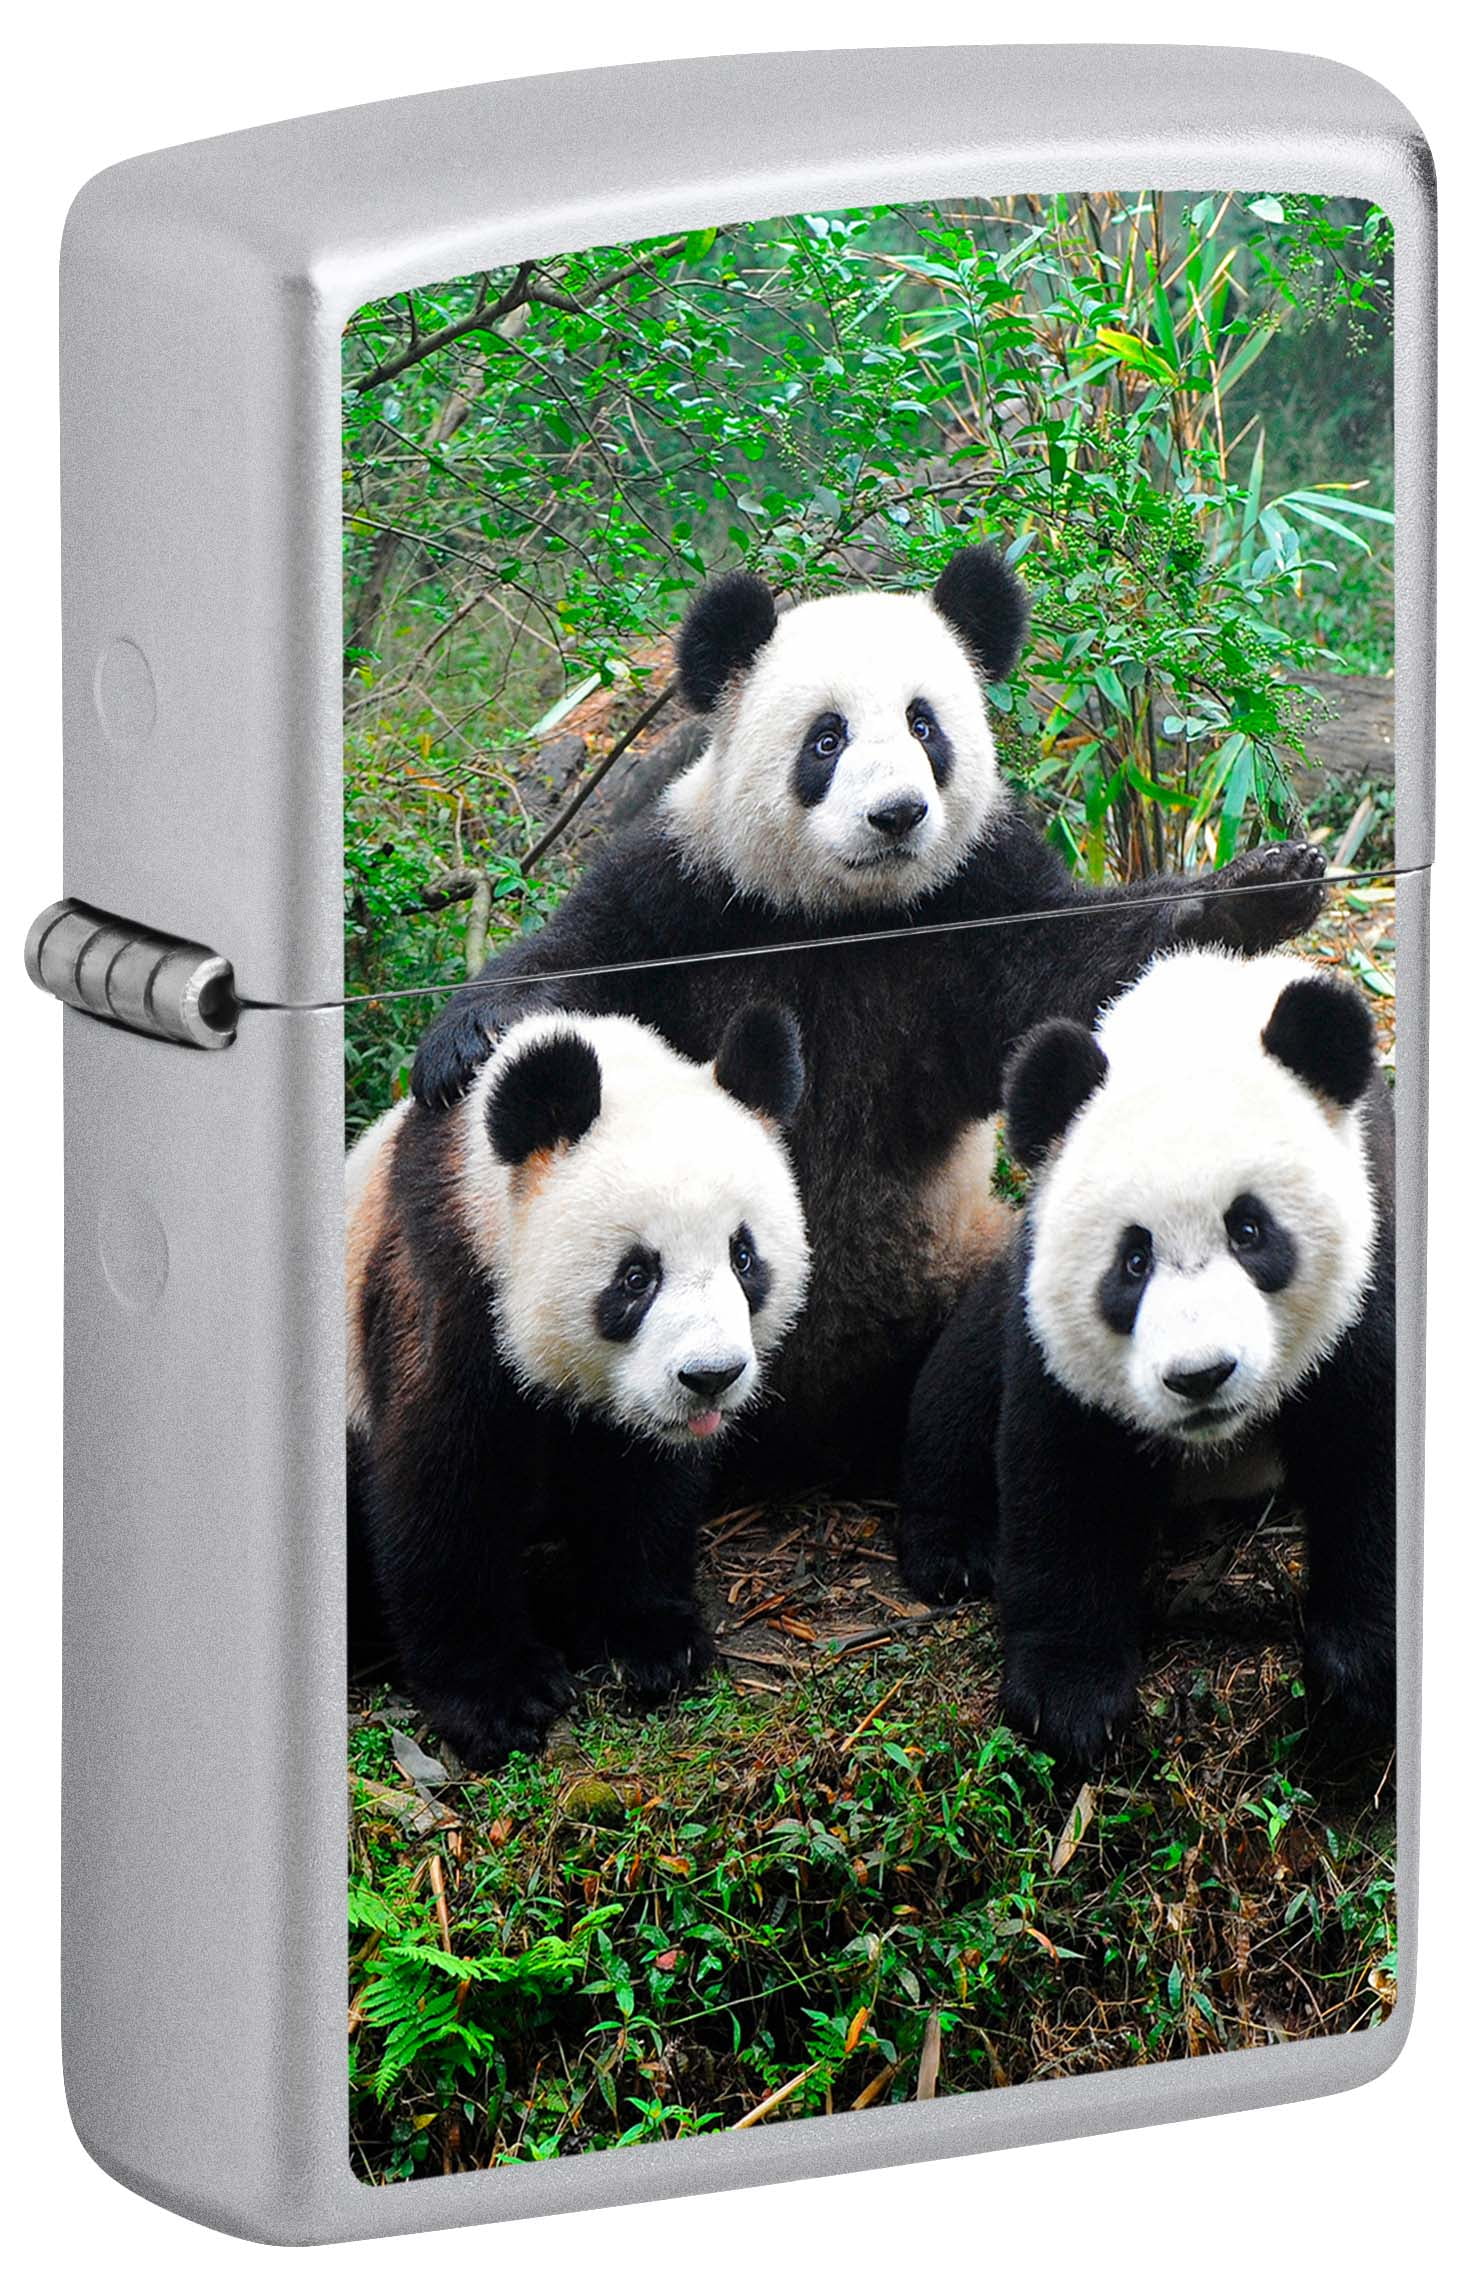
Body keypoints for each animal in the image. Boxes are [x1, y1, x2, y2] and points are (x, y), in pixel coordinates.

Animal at [347, 1003, 810, 1768]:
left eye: (743, 1257)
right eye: (636, 1276)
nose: (711, 1377)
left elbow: (644, 1485)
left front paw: (650, 1641)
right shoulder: (443, 1279)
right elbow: (443, 1485)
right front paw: (501, 1698)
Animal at [411, 545, 1326, 1493]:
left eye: (925, 727)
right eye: (828, 738)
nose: (898, 814)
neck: (846, 914)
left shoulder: (973, 903)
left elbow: (1075, 971)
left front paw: (1258, 889)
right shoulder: (685, 893)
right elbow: (581, 961)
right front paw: (465, 1043)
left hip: (957, 1260)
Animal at [898, 948, 1395, 1762]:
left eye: (1249, 1231)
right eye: (1133, 1262)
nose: (1202, 1376)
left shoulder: (1373, 1254)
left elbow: (1371, 1444)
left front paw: (1363, 1673)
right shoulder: (1046, 1306)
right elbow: (1064, 1467)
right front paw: (1067, 1697)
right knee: (959, 1384)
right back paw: (953, 1550)